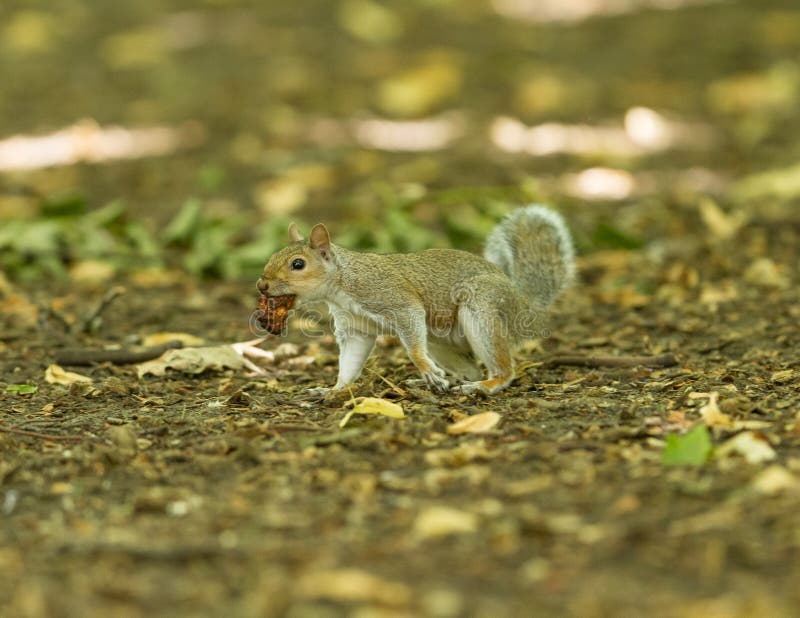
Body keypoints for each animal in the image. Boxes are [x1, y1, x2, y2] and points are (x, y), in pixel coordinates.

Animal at [256, 204, 575, 395]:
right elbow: (350, 361)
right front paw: (335, 389)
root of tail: (523, 304)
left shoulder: (395, 299)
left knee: (504, 368)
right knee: (470, 368)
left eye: (298, 264)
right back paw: (445, 381)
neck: (342, 285)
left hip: (482, 308)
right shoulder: (355, 328)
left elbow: (411, 336)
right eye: (273, 256)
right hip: (440, 340)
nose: (262, 285)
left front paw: (422, 366)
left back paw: (482, 384)